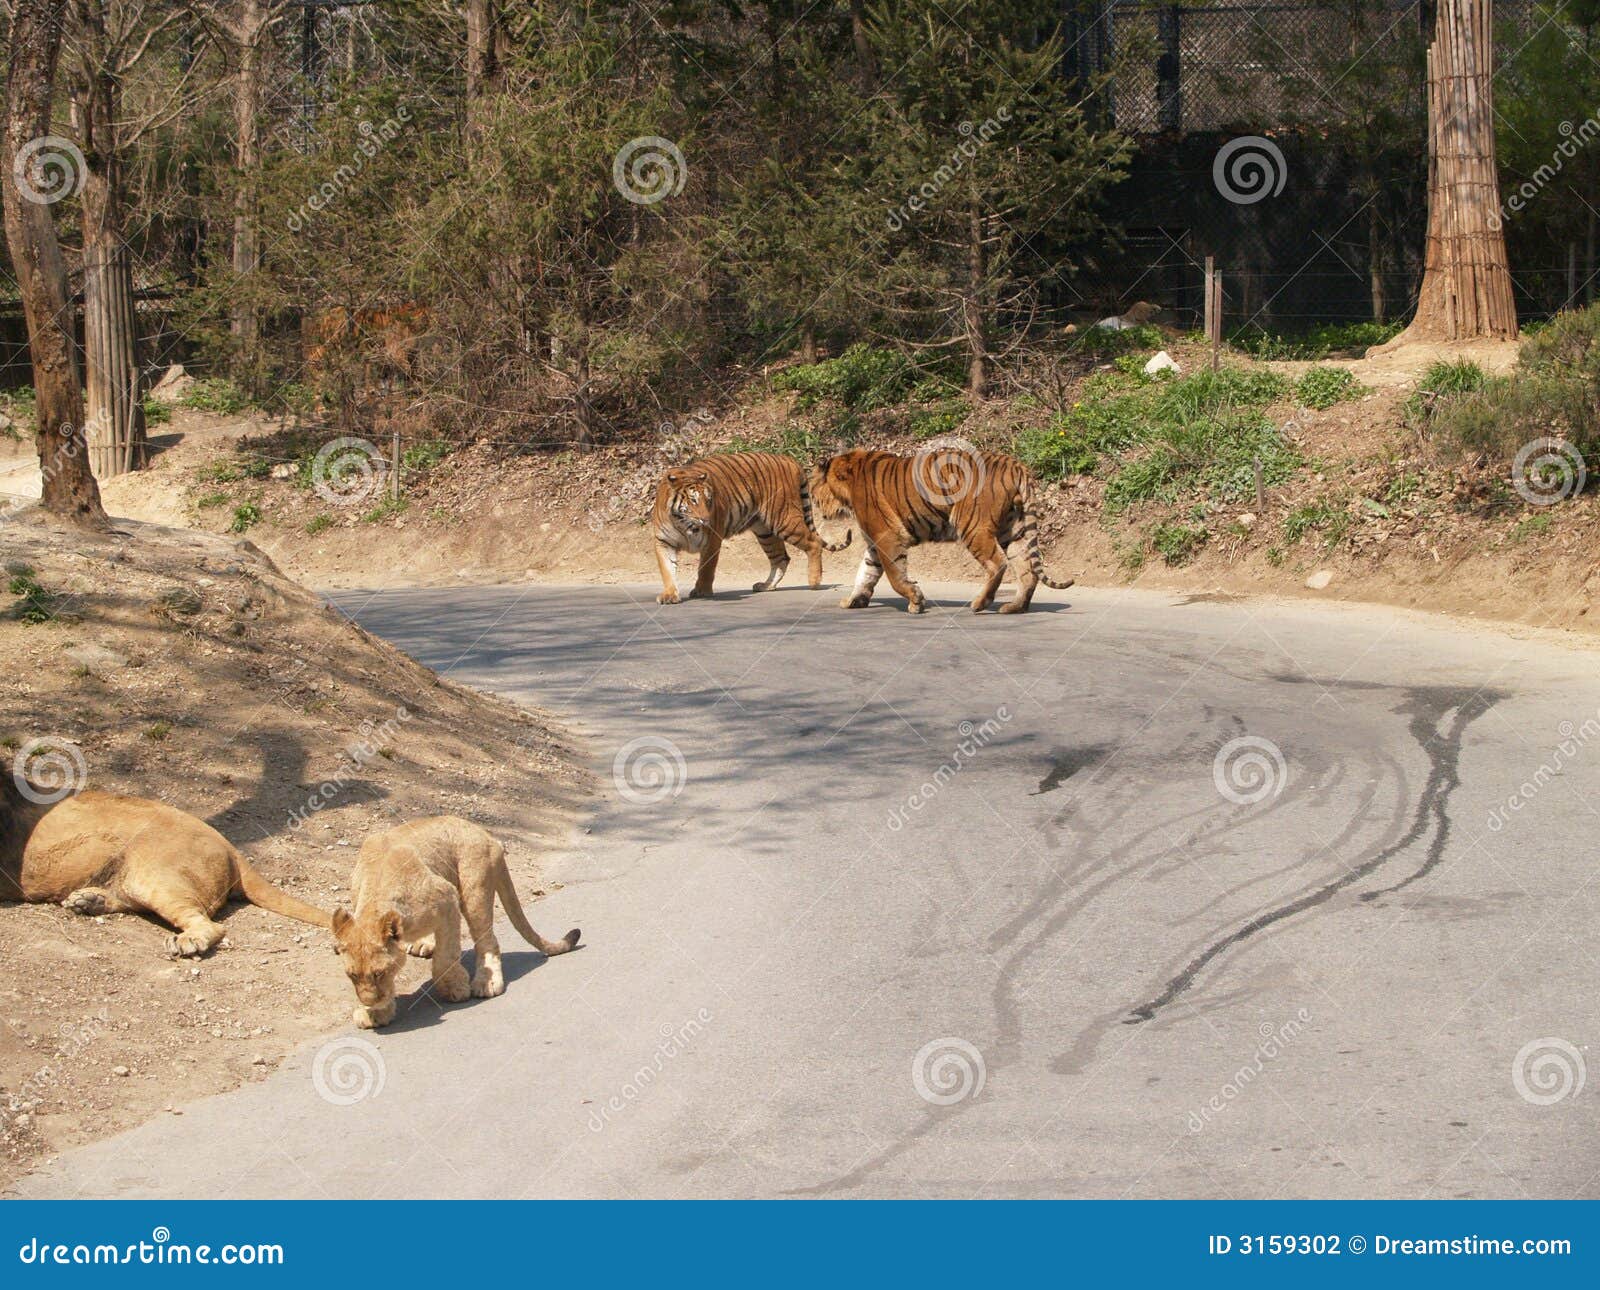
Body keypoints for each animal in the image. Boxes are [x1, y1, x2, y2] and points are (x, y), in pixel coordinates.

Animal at [652, 451, 851, 604]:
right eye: (693, 501)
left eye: (708, 501)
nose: (706, 520)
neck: (682, 523)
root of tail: (790, 460)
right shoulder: (663, 542)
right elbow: (667, 570)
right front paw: (669, 595)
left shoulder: (712, 540)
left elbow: (706, 568)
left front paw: (702, 591)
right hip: (765, 531)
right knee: (781, 558)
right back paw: (766, 586)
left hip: (784, 521)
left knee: (813, 542)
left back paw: (814, 582)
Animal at [808, 446, 1074, 614]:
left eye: (811, 487)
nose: (813, 501)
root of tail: (1015, 465)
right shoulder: (874, 543)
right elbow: (865, 573)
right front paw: (853, 601)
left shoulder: (886, 536)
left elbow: (894, 575)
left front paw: (916, 601)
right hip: (1016, 530)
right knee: (1027, 571)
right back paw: (1014, 607)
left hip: (971, 526)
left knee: (998, 563)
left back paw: (980, 603)